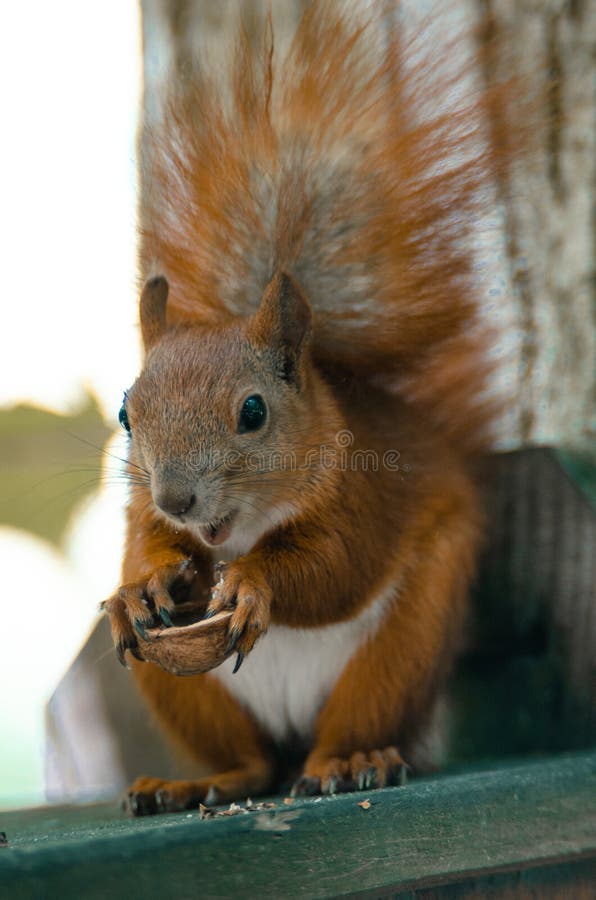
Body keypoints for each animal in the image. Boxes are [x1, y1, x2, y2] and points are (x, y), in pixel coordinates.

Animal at [102, 3, 516, 814]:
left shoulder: (362, 494)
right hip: (192, 695)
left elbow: (335, 567)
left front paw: (255, 585)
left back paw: (349, 761)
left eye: (253, 412)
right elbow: (146, 549)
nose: (176, 498)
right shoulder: (147, 520)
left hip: (404, 645)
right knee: (253, 764)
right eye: (127, 415)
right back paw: (196, 783)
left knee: (346, 725)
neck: (241, 529)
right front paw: (136, 589)